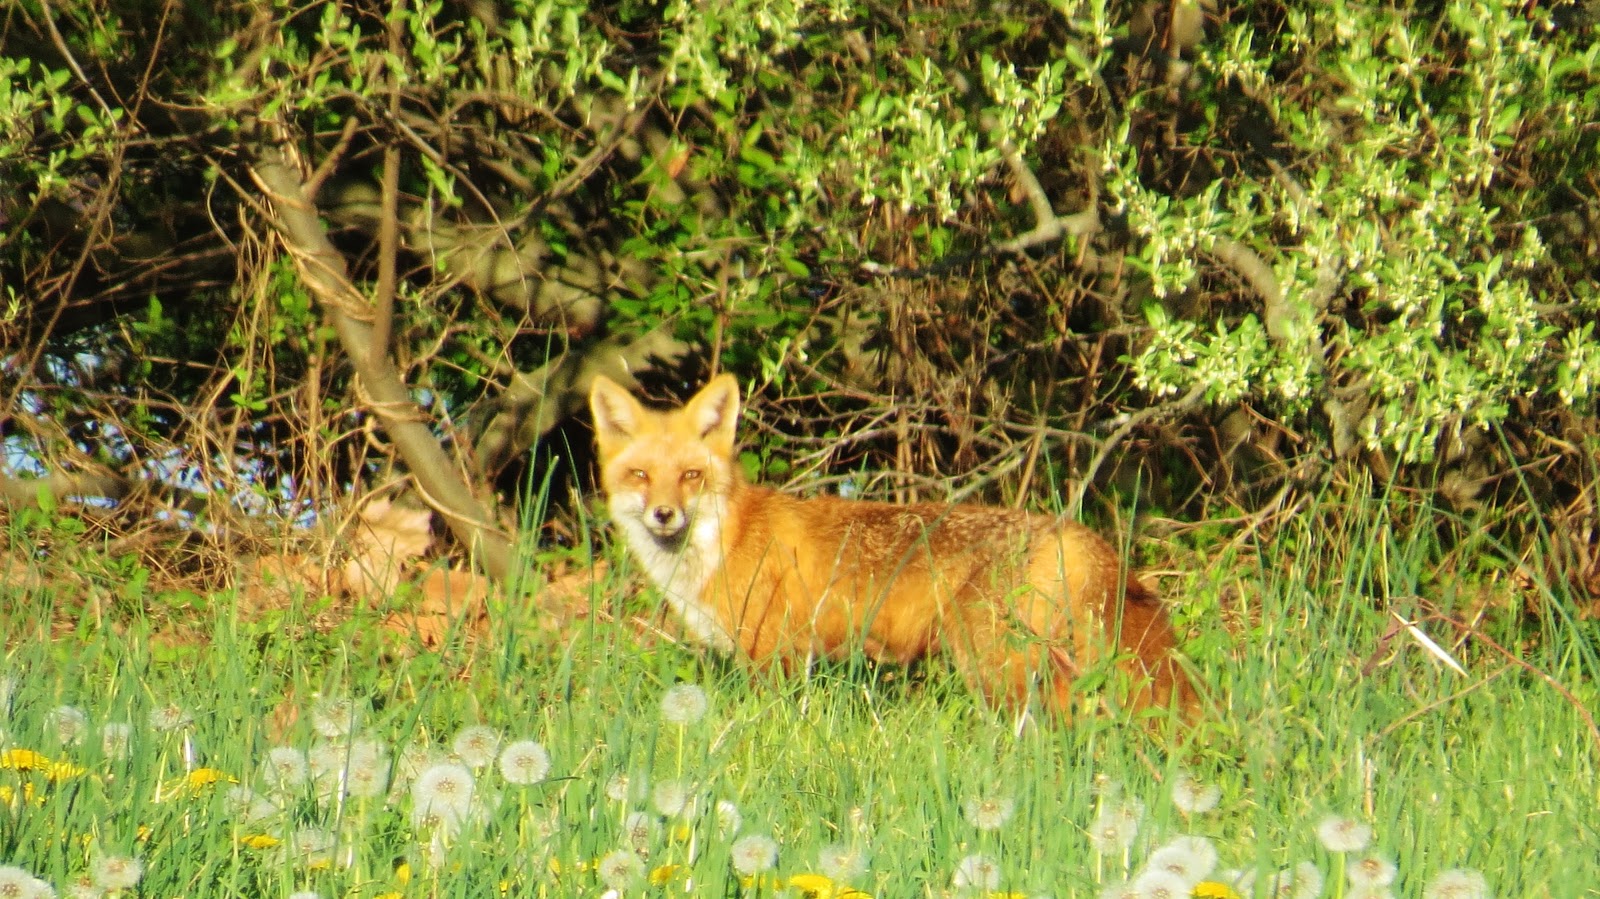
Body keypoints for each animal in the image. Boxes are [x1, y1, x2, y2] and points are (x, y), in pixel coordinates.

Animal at [589, 374, 1195, 718]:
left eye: (691, 476)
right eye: (641, 475)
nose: (664, 514)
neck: (724, 541)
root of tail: (1074, 531)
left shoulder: (775, 656)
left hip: (997, 670)